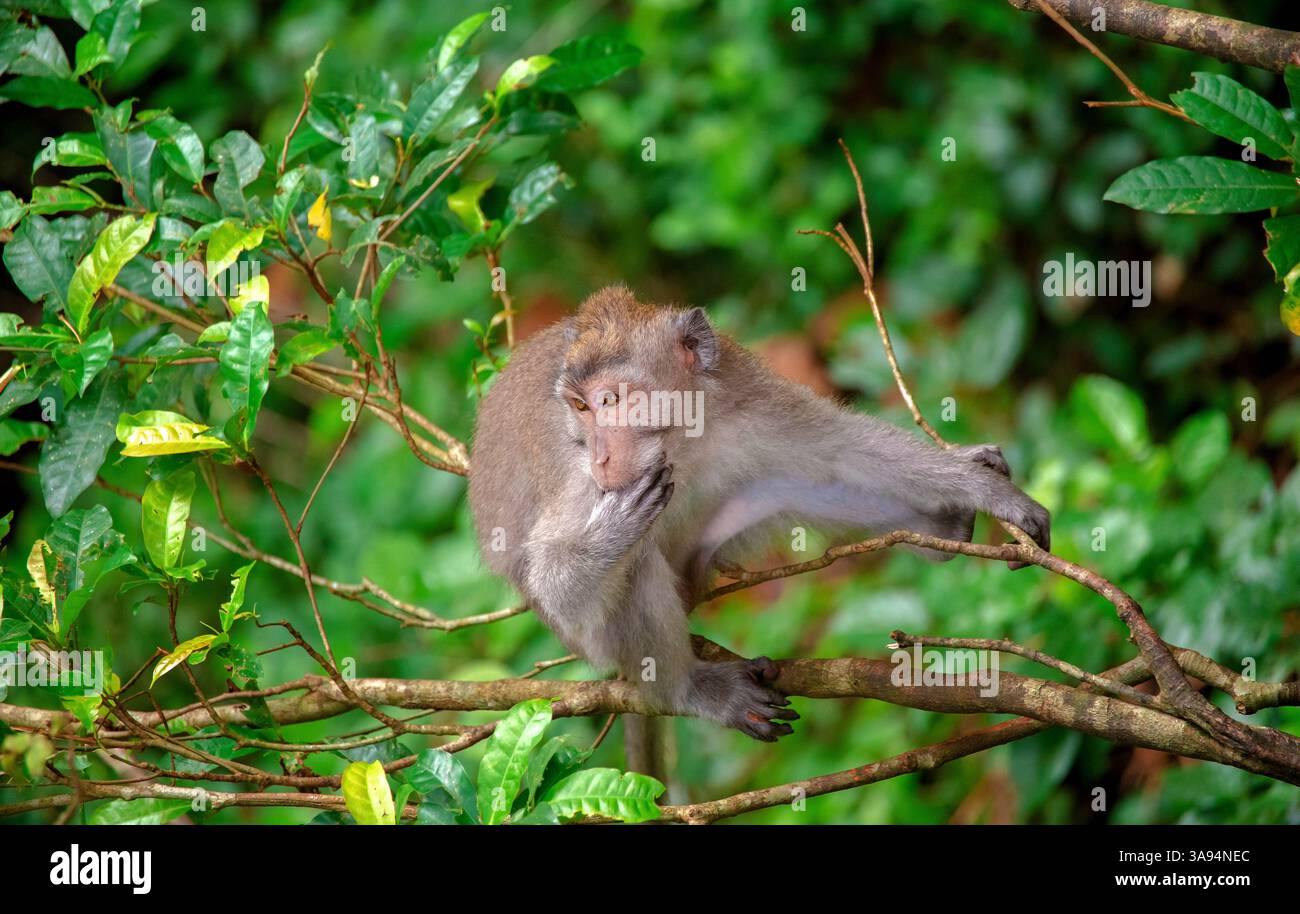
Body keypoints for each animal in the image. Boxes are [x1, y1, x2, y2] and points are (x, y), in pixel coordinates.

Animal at [468, 286, 1049, 741]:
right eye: (580, 408)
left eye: (611, 401)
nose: (601, 457)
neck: (684, 438)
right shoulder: (581, 480)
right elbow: (554, 577)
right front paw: (615, 528)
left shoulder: (749, 393)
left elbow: (841, 450)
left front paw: (979, 482)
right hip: (592, 643)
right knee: (633, 568)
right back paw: (688, 687)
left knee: (799, 478)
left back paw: (941, 526)